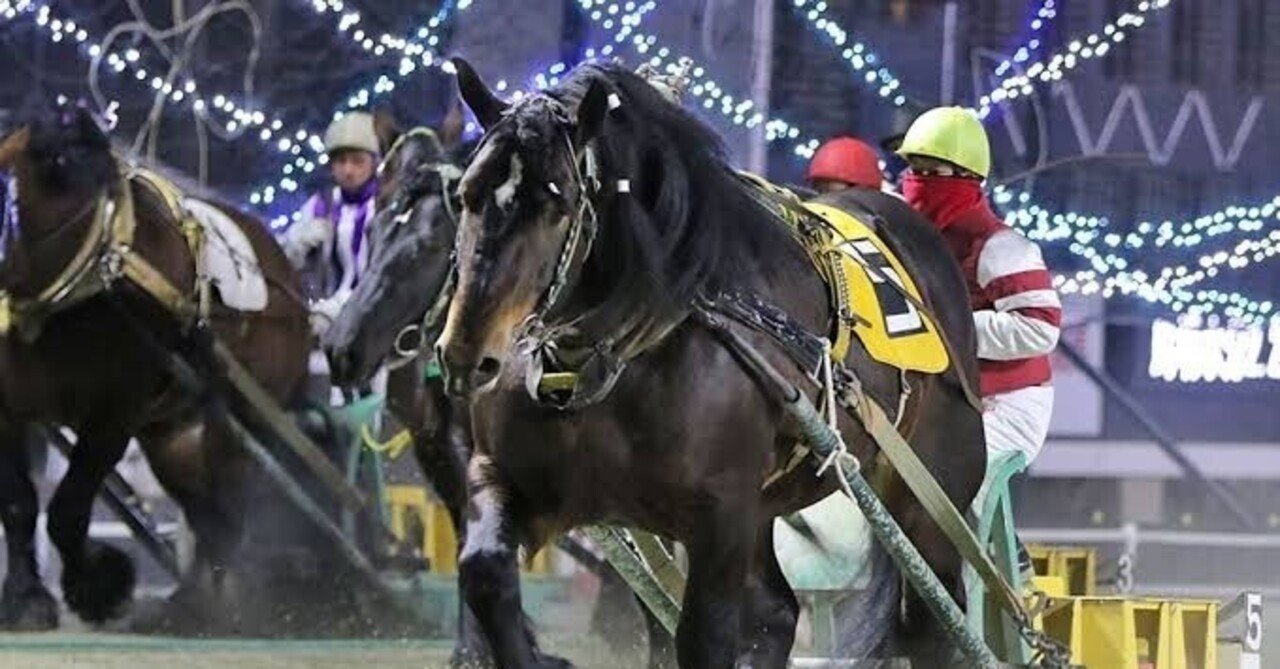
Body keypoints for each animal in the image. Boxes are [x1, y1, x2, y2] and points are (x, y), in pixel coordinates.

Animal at [0, 106, 310, 630]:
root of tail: (288, 281)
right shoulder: (12, 409)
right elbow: (20, 504)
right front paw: (26, 601)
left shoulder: (113, 414)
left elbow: (67, 510)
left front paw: (97, 589)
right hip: (171, 435)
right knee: (205, 511)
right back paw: (187, 600)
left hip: (234, 421)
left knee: (226, 513)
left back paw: (207, 610)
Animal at [434, 60, 986, 668]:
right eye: (465, 195)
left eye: (556, 206)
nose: (465, 353)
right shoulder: (513, 479)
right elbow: (484, 571)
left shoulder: (720, 521)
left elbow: (706, 637)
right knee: (777, 611)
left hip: (928, 503)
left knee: (932, 624)